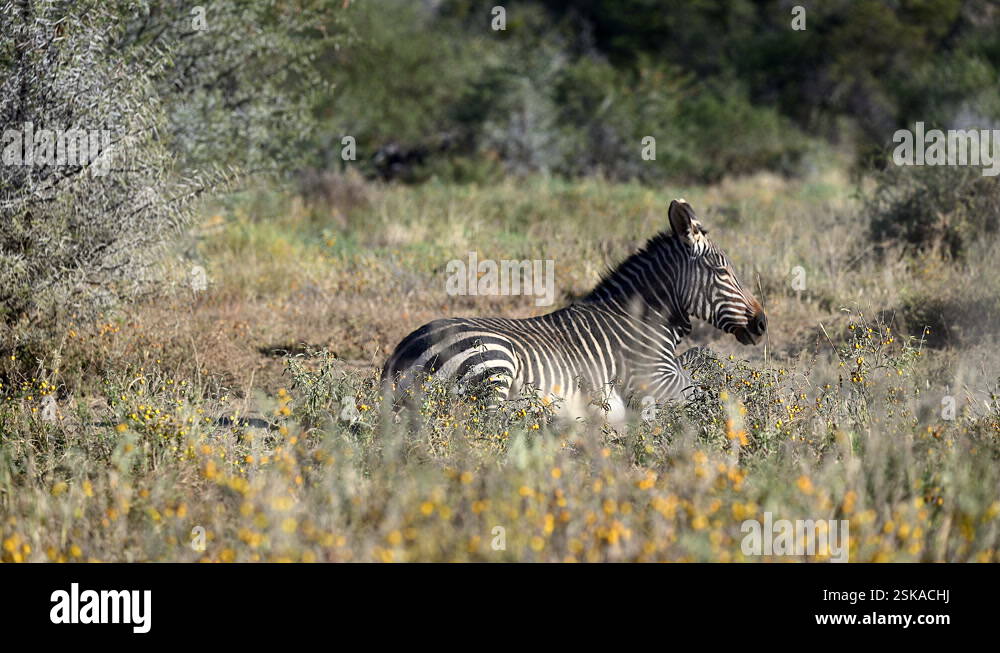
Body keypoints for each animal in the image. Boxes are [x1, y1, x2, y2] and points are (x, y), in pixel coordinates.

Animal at [380, 199, 766, 424]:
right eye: (722, 272)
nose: (762, 323)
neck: (645, 325)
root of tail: (402, 353)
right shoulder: (657, 385)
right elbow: (717, 398)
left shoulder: (673, 376)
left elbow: (713, 378)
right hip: (494, 359)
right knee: (494, 419)